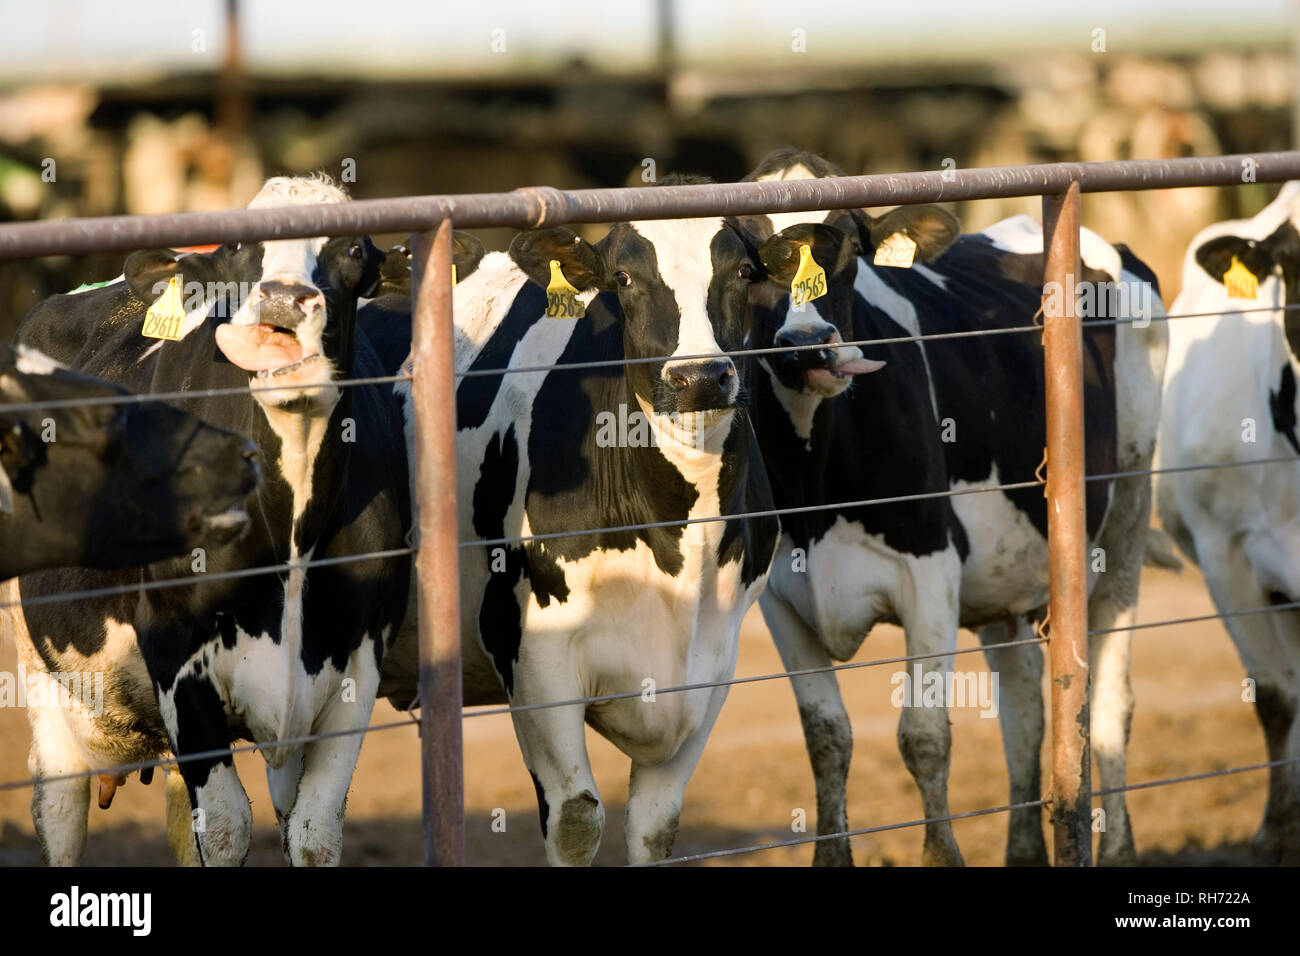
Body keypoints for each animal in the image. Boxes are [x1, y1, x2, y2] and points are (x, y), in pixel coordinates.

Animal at [379, 179, 780, 864]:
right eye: (624, 278)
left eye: (743, 273)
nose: (700, 376)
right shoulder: (533, 654)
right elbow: (575, 817)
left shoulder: (713, 662)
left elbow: (655, 827)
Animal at [739, 148, 1167, 865]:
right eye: (749, 264)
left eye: (849, 250)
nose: (808, 344)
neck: (816, 486)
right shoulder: (780, 597)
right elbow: (827, 740)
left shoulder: (931, 574)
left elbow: (924, 738)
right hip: (1009, 569)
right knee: (1023, 703)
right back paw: (1024, 852)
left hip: (1128, 512)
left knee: (1109, 698)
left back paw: (1119, 849)